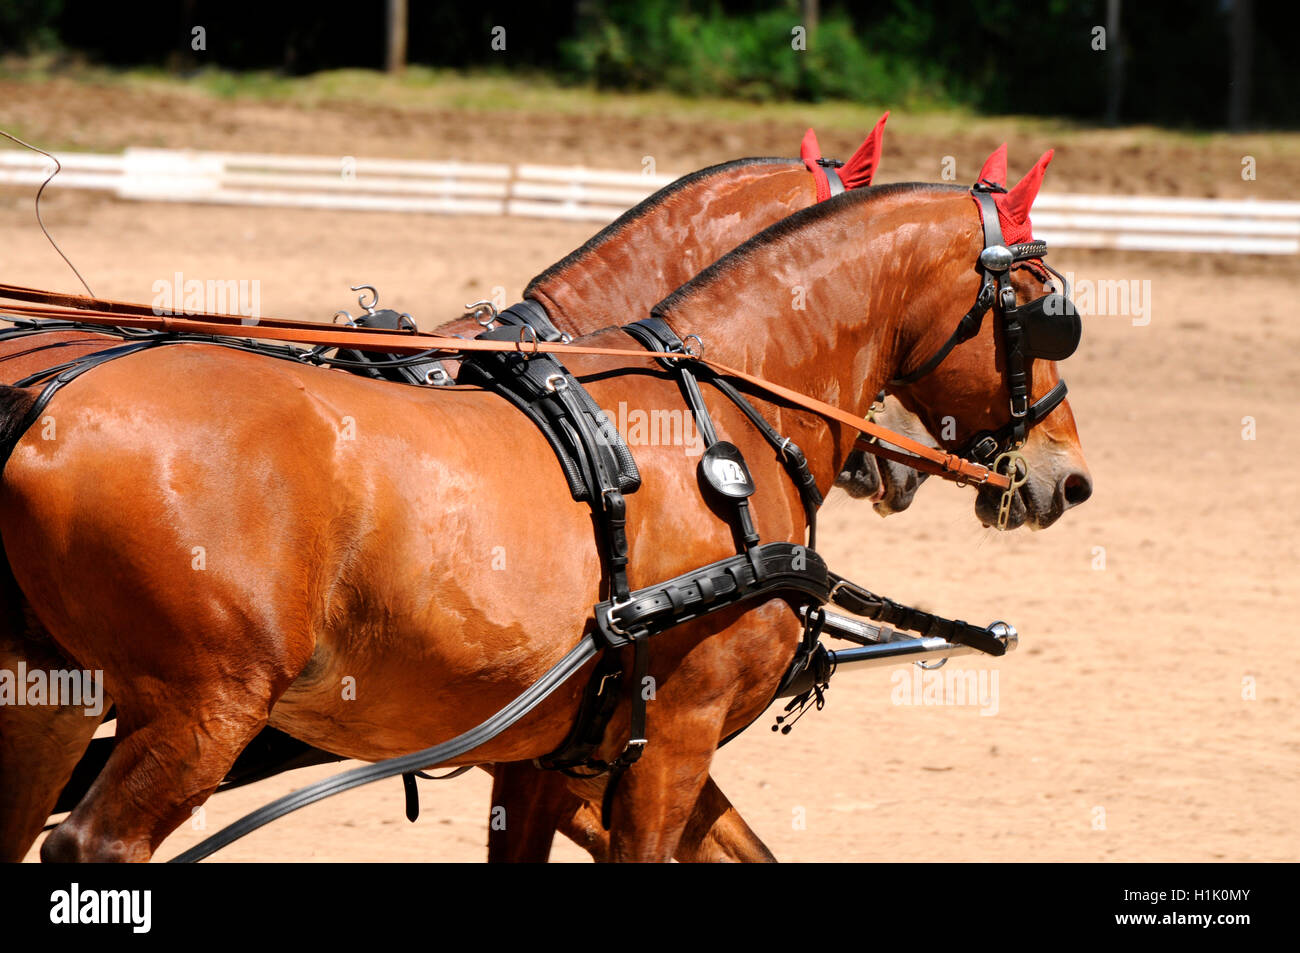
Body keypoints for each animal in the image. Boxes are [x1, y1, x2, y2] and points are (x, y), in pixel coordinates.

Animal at [0, 161, 1090, 862]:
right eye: (1047, 308)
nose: (1069, 478)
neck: (724, 405)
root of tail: (44, 408)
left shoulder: (549, 750)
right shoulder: (672, 734)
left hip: (48, 695)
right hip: (206, 707)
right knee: (95, 844)